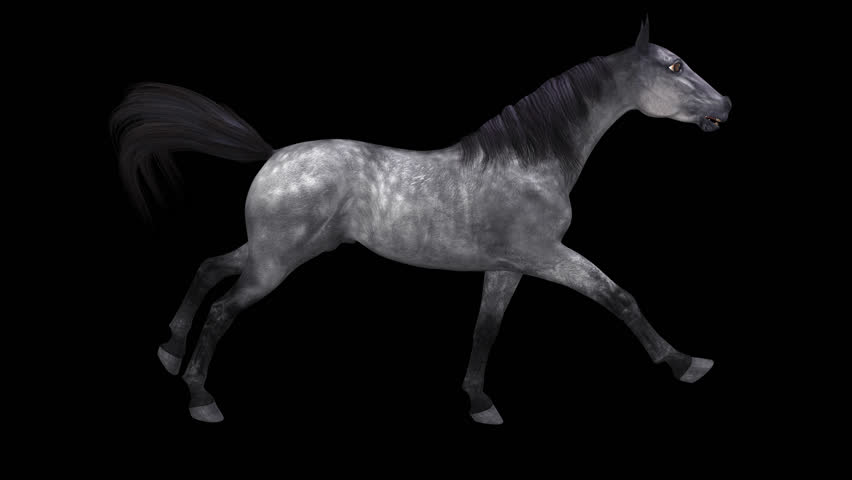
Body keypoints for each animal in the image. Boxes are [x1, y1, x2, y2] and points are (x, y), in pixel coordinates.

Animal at [111, 17, 731, 424]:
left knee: (208, 266)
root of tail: (275, 156)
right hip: (274, 263)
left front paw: (480, 402)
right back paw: (200, 398)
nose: (725, 106)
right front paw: (686, 363)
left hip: (274, 251)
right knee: (221, 308)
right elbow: (619, 295)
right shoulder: (544, 257)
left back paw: (169, 349)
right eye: (674, 65)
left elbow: (485, 330)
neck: (528, 162)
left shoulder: (506, 268)